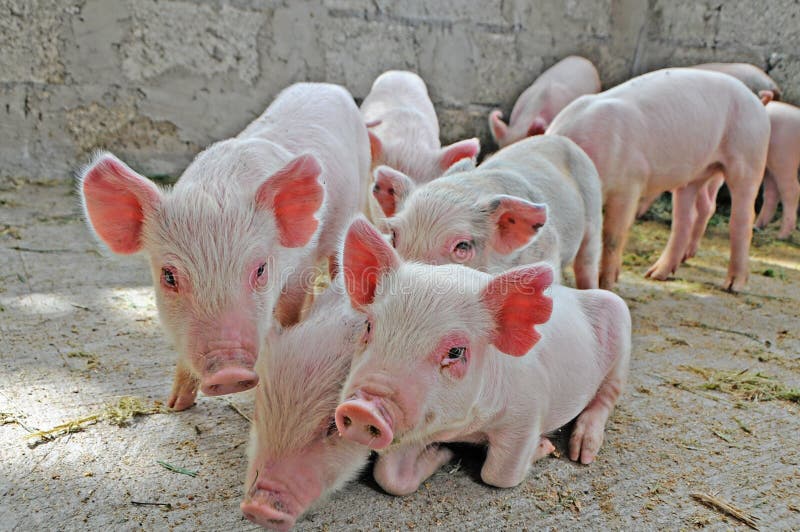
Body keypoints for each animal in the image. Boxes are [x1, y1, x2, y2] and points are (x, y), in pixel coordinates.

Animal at [79, 83, 370, 410]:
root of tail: (325, 86)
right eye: (168, 276)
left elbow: (289, 312)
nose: (229, 372)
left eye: (260, 269)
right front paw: (175, 406)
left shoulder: (301, 265)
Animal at [333, 219, 631, 494]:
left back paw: (583, 454)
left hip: (620, 332)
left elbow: (499, 475)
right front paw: (443, 452)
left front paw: (544, 446)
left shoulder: (527, 412)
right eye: (368, 326)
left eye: (456, 351)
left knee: (607, 396)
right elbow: (388, 476)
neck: (466, 429)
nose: (363, 408)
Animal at [547, 68, 771, 292]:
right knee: (684, 219)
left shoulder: (629, 184)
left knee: (742, 217)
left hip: (749, 155)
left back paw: (733, 285)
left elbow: (612, 237)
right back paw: (655, 274)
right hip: (694, 173)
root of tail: (757, 101)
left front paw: (607, 286)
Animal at [754, 101, 800, 239]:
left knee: (792, 190)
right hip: (770, 165)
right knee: (772, 193)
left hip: (784, 156)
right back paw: (757, 227)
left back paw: (781, 235)